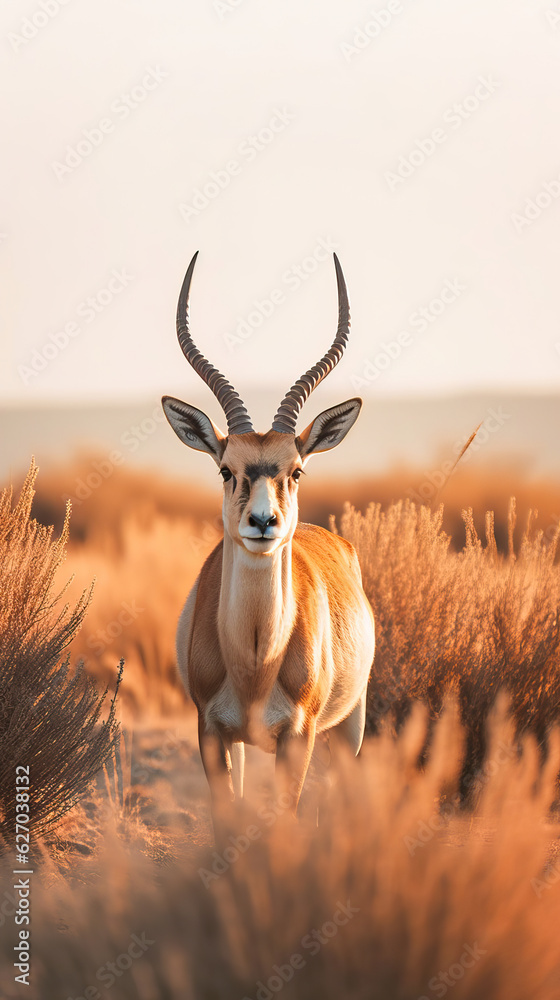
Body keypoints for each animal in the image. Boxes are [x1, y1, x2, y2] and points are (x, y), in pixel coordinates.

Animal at [162, 252, 375, 827]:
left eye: (296, 470)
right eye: (226, 470)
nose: (263, 522)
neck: (256, 663)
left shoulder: (298, 737)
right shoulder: (211, 733)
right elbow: (225, 820)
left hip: (349, 726)